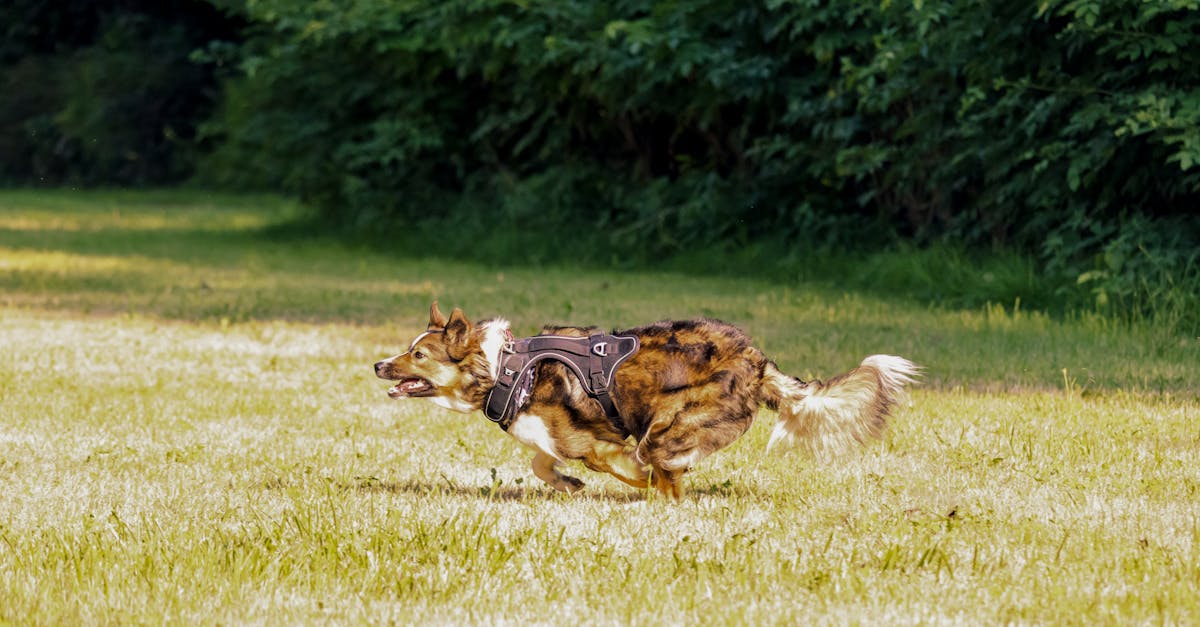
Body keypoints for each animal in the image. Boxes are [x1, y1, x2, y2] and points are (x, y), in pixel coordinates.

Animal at [374, 302, 916, 497]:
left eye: (418, 354)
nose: (378, 365)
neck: (505, 368)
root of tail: (757, 361)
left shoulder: (599, 444)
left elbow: (612, 465)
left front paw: (616, 483)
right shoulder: (553, 438)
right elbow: (542, 463)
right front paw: (568, 484)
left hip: (666, 428)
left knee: (664, 473)